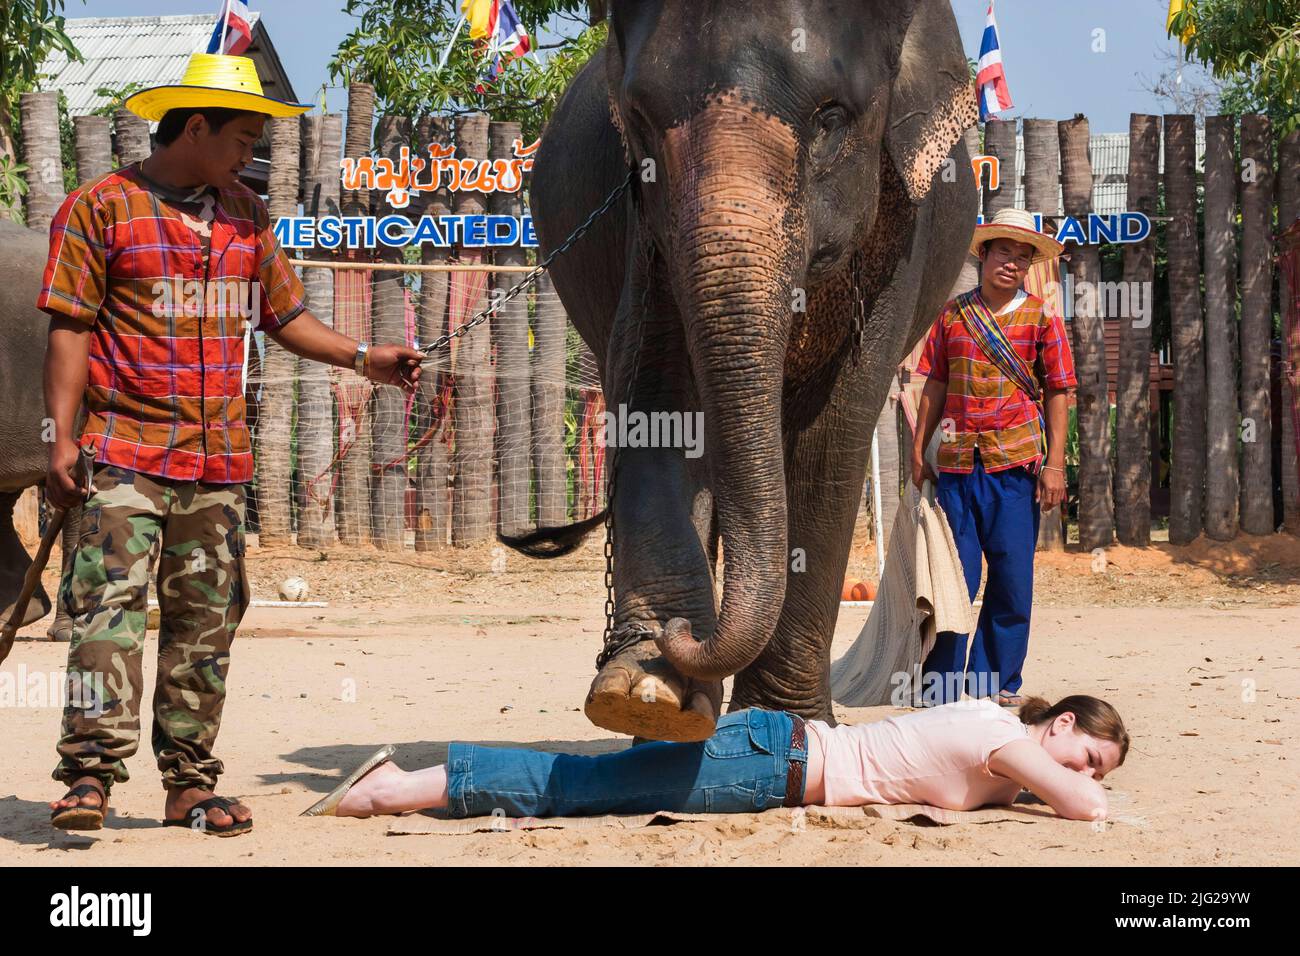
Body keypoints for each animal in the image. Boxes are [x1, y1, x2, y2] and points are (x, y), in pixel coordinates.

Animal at [511, 0, 979, 742]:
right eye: (639, 119)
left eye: (830, 117)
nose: (680, 634)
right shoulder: (644, 234)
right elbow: (660, 398)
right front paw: (644, 691)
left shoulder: (906, 227)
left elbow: (837, 423)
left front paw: (785, 721)